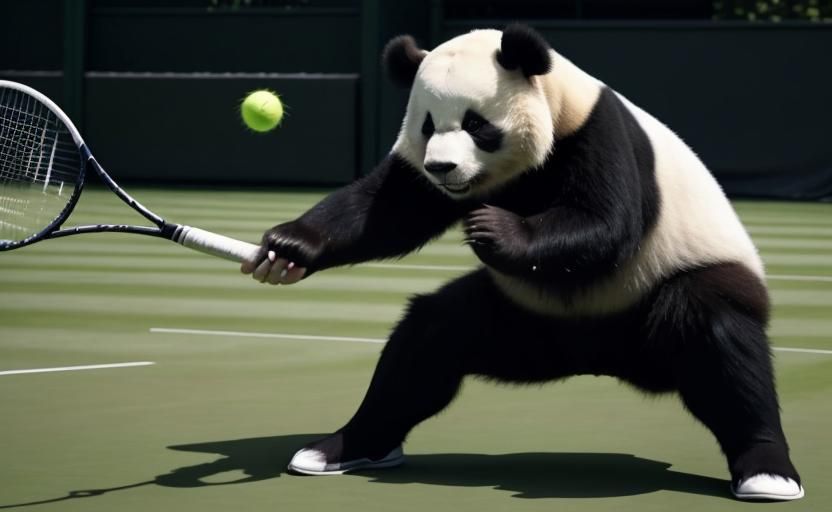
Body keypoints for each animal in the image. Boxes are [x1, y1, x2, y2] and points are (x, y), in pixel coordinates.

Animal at [241, 24, 803, 501]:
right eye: (426, 126)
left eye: (475, 124)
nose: (441, 167)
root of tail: (603, 358)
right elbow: (389, 211)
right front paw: (288, 247)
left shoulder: (594, 131)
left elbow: (606, 222)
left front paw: (493, 229)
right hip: (519, 321)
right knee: (426, 344)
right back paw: (343, 445)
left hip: (668, 285)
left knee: (719, 340)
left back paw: (766, 468)